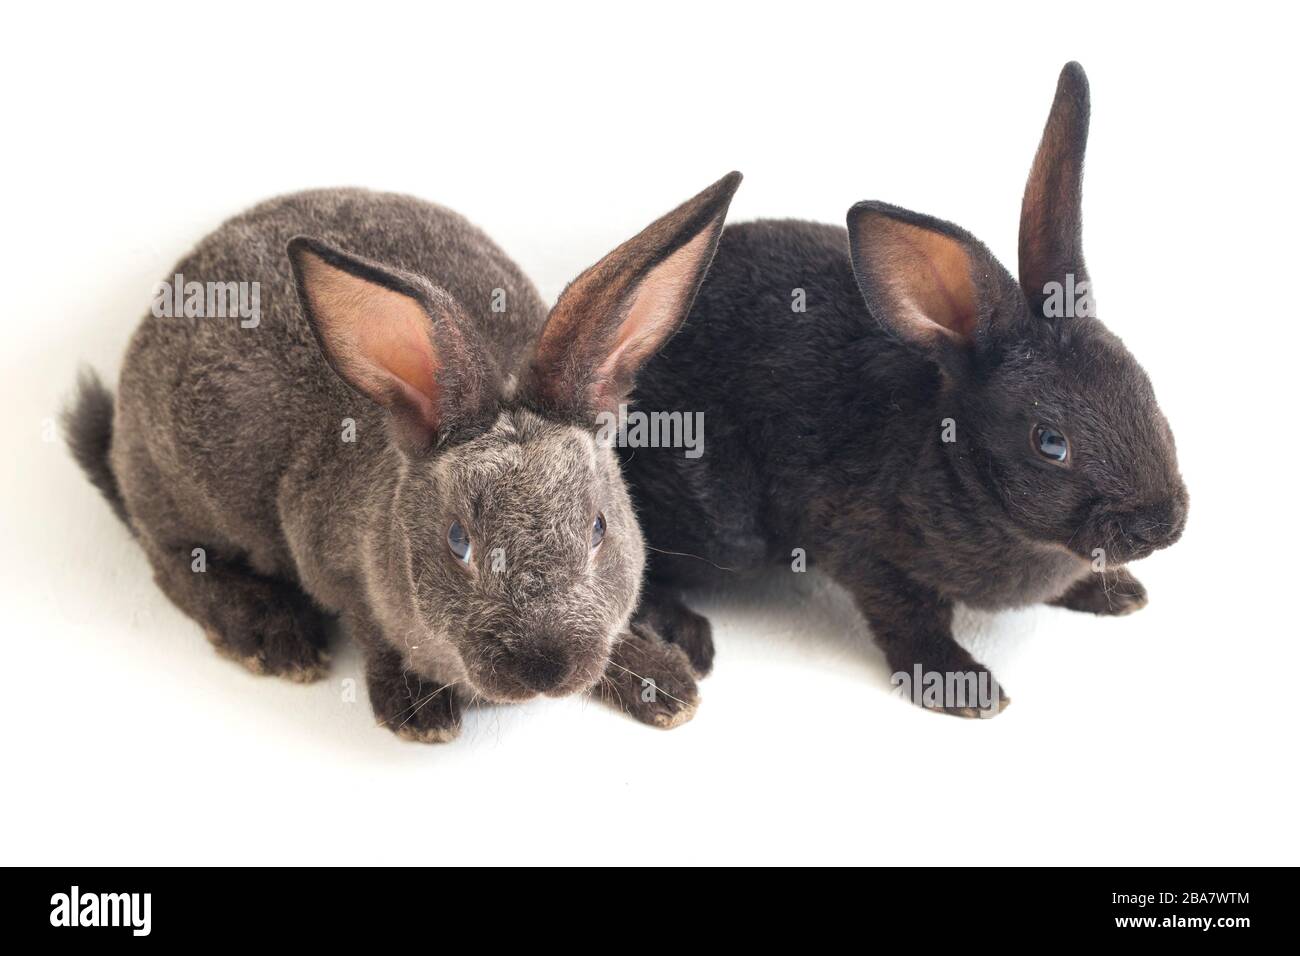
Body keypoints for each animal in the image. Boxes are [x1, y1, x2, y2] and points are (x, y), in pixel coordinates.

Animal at [64, 173, 742, 741]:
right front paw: (417, 712)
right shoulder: (329, 559)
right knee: (172, 561)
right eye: (458, 542)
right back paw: (273, 636)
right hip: (180, 496)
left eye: (600, 528)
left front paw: (667, 685)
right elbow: (372, 631)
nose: (545, 668)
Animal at [621, 63, 1188, 716]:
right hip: (722, 526)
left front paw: (1115, 592)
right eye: (1050, 443)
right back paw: (682, 634)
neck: (952, 459)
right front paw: (964, 686)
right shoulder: (867, 551)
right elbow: (908, 618)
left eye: (1145, 387)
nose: (1164, 525)